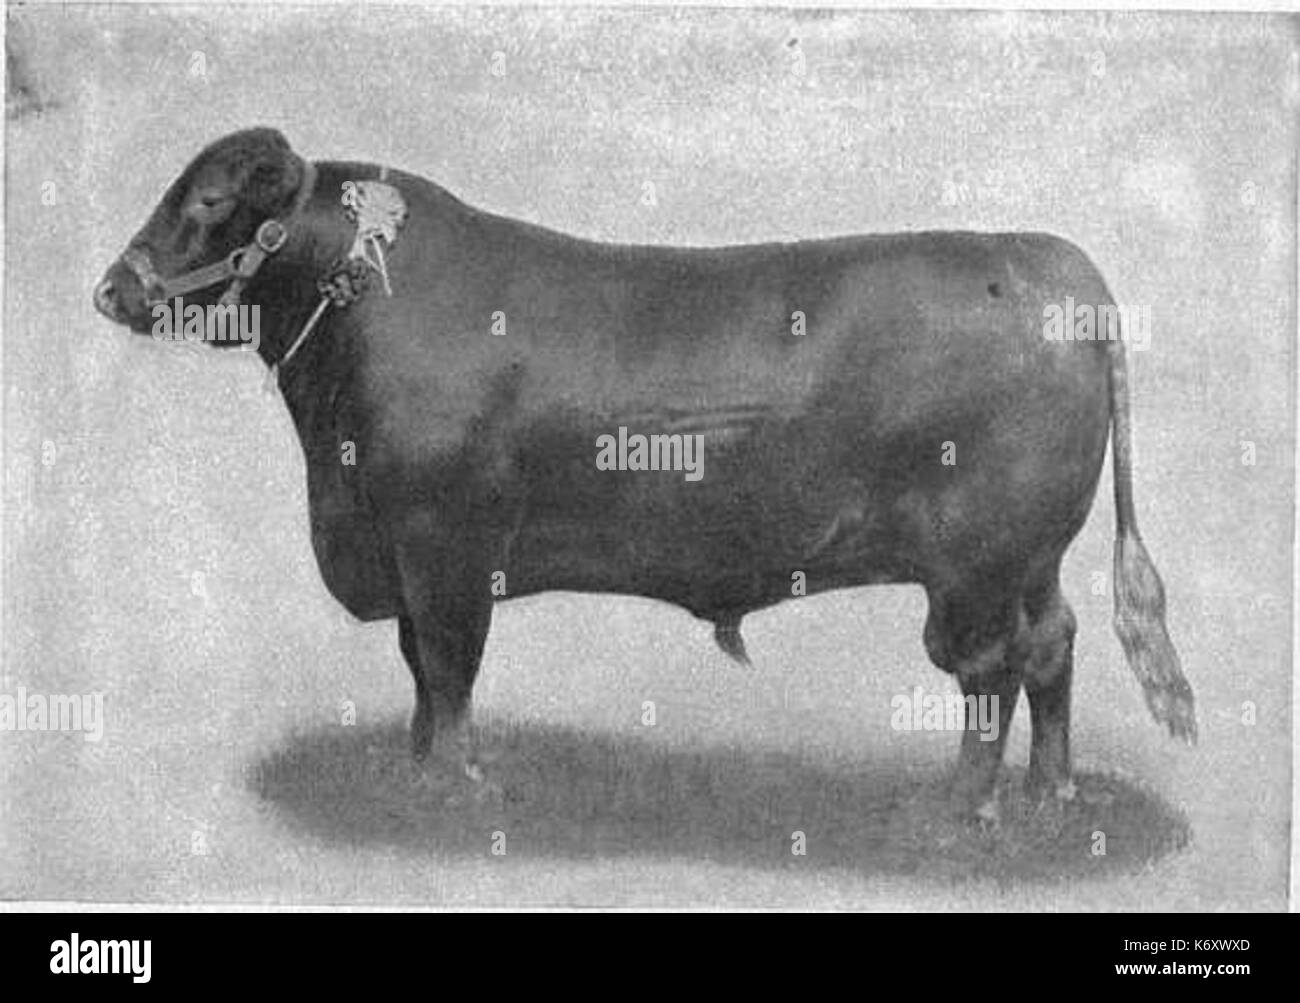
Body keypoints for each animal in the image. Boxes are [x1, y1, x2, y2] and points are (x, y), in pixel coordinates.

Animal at [94, 128, 1195, 819]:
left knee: (990, 671)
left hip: (975, 570)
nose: (111, 289)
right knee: (1051, 647)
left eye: (208, 197)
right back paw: (1049, 796)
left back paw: (959, 809)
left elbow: (447, 666)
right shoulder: (403, 551)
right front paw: (412, 772)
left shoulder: (444, 547)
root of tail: (1052, 264)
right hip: (1029, 560)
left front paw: (453, 783)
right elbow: (417, 669)